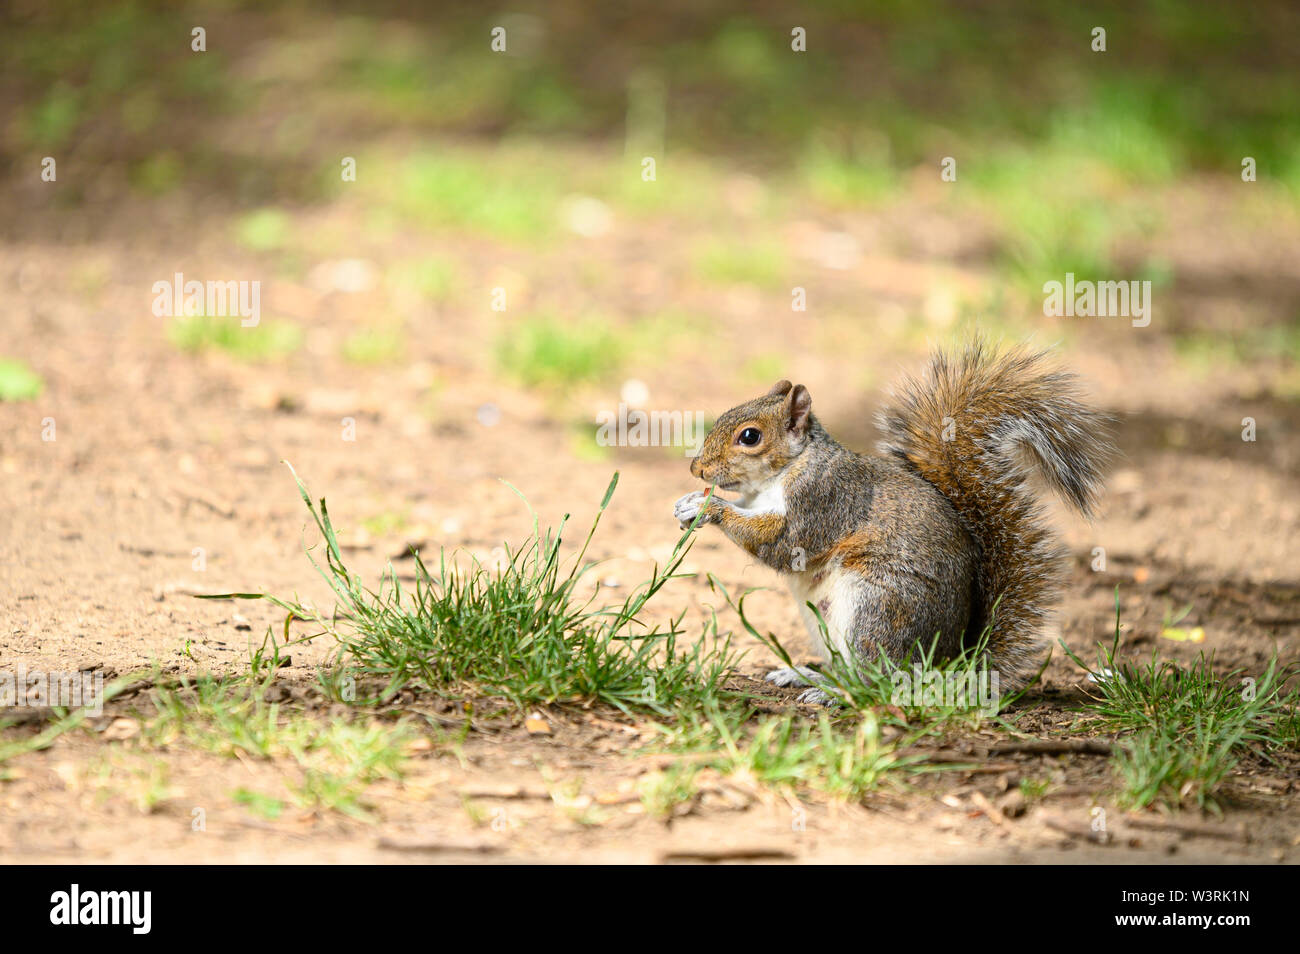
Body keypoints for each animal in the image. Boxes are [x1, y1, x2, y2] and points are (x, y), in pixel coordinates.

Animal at [673, 339, 1115, 703]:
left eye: (749, 437)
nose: (696, 468)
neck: (783, 472)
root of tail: (949, 663)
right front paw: (688, 503)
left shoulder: (824, 501)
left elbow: (779, 542)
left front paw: (710, 508)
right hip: (824, 620)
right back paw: (807, 676)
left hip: (878, 609)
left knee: (879, 678)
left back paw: (832, 694)